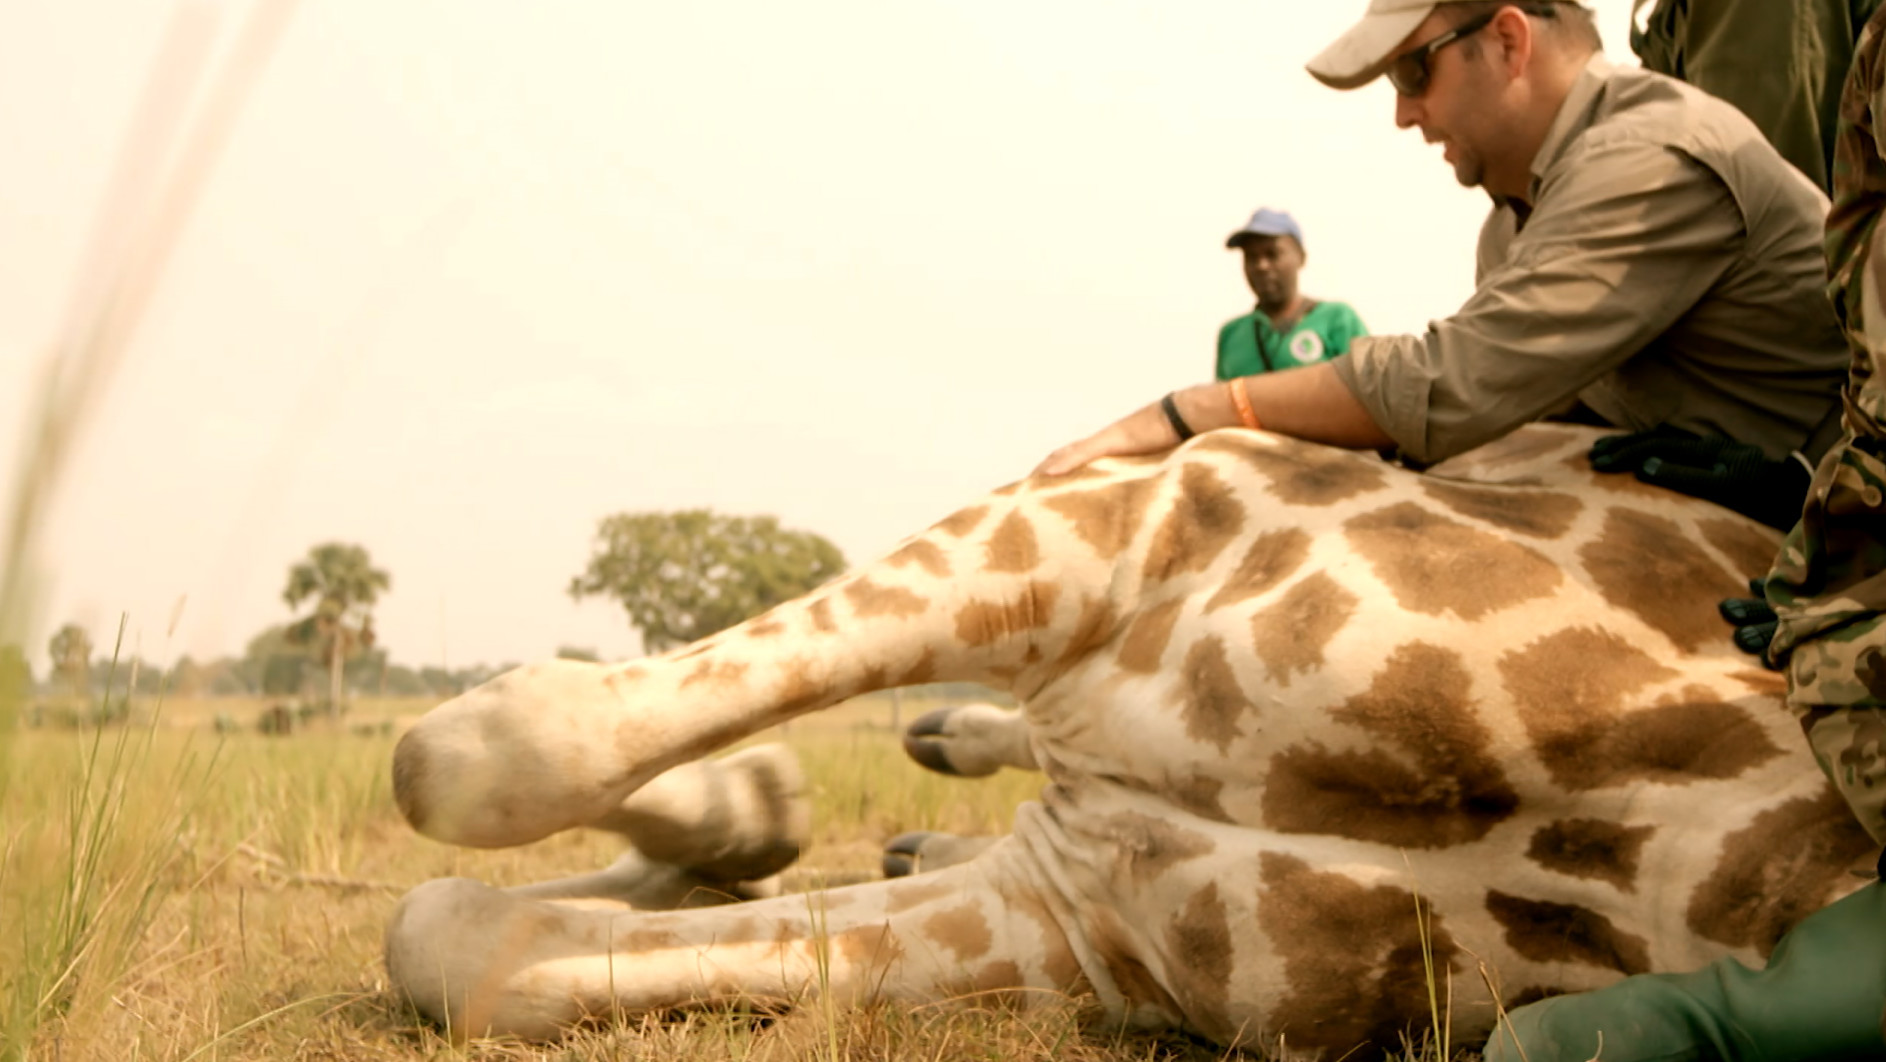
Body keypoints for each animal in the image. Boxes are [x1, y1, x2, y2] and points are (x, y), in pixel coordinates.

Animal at [383, 423, 1877, 1057]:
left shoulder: (1077, 916)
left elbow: (459, 937)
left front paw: (740, 821)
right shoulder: (1150, 507)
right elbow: (484, 763)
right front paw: (750, 800)